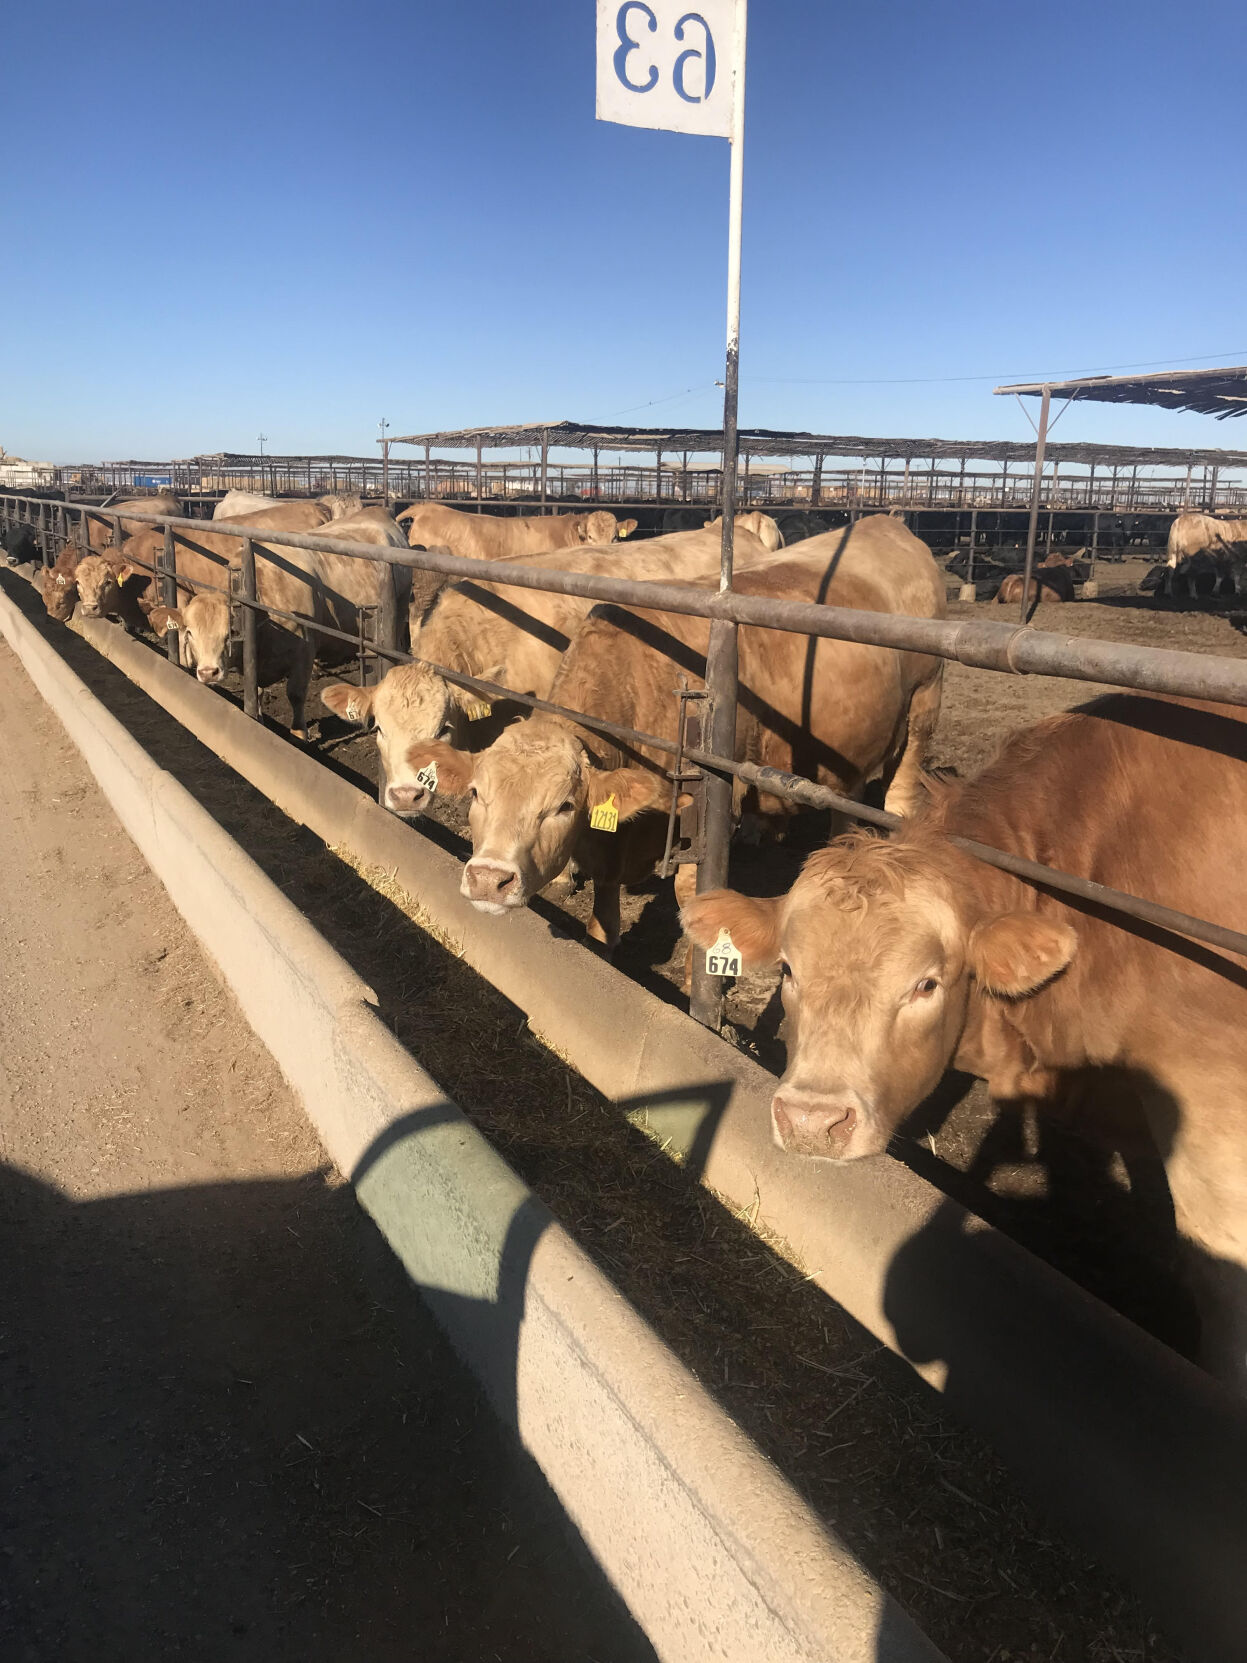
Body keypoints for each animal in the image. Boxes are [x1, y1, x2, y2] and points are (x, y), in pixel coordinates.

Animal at [399, 516, 945, 948]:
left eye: (562, 806)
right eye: (476, 793)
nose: (488, 879)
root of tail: (888, 525)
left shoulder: (704, 810)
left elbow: (691, 897)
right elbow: (604, 898)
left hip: (926, 695)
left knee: (906, 764)